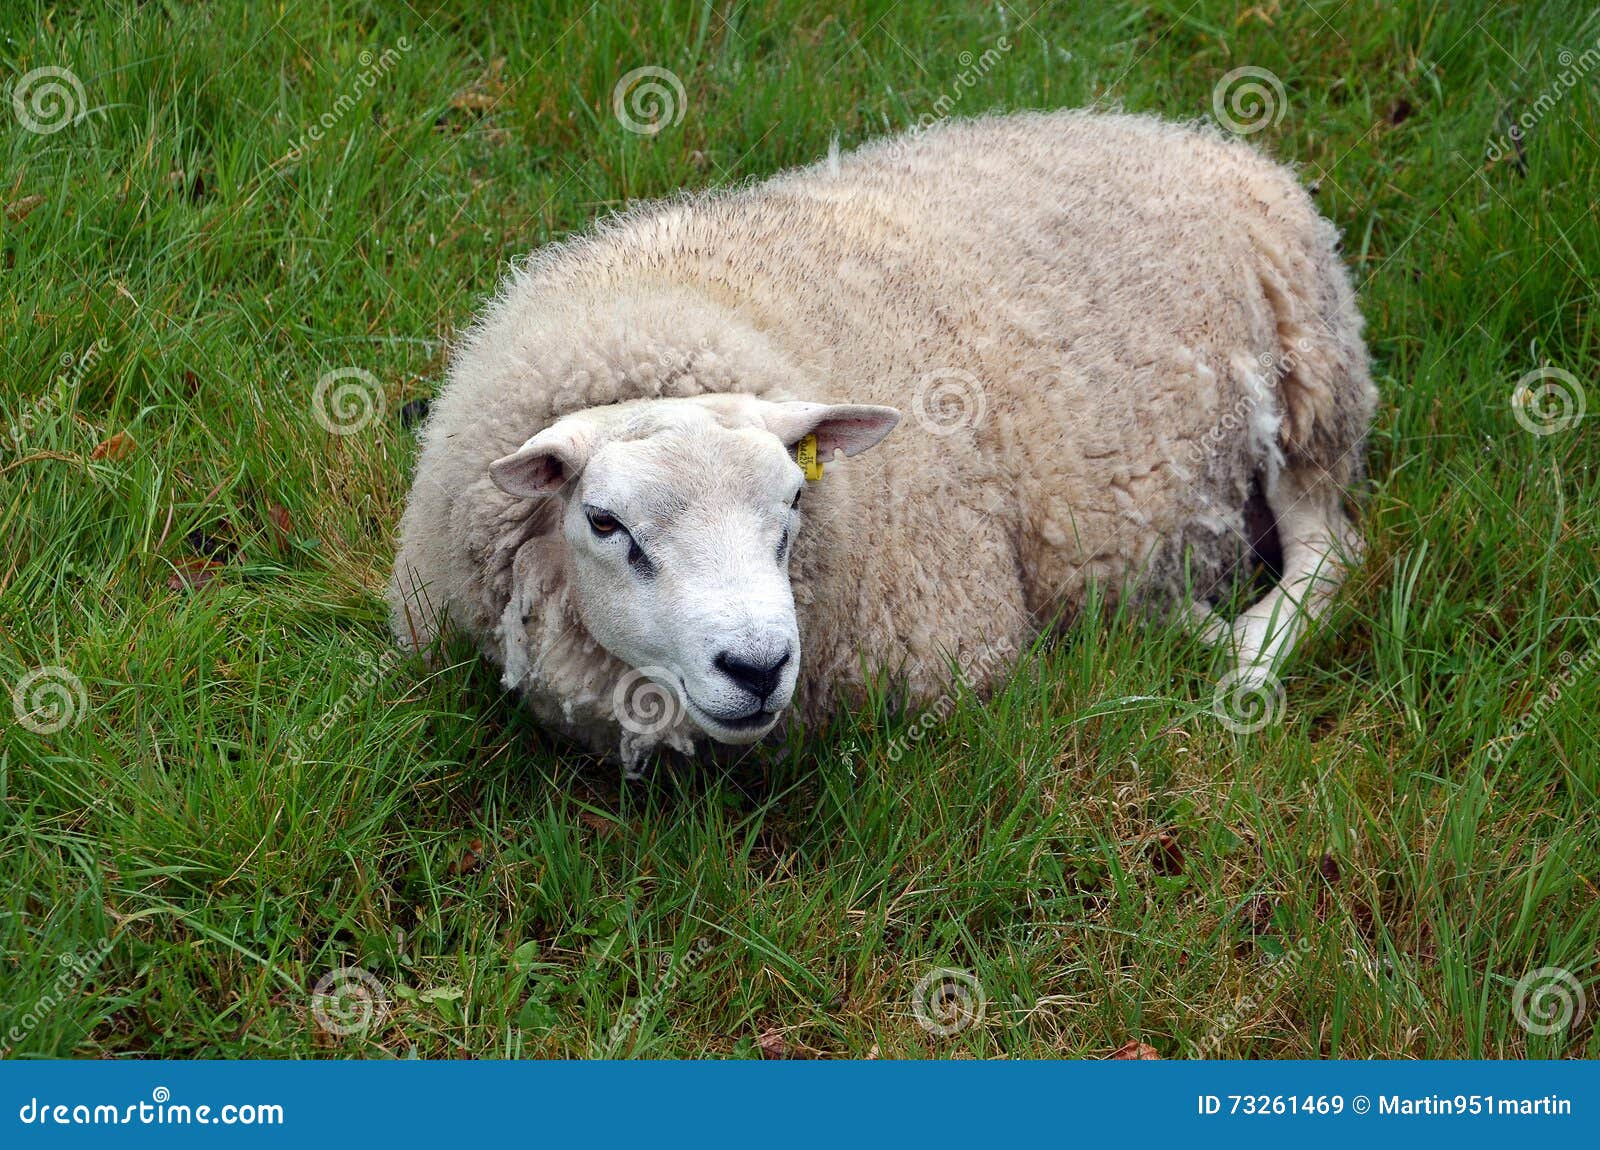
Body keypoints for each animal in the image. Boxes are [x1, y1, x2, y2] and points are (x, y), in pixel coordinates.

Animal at [388, 109, 1377, 772]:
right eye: (604, 523)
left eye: (796, 499)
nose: (758, 667)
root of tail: (1201, 141)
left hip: (1310, 379)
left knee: (1331, 549)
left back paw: (1244, 654)